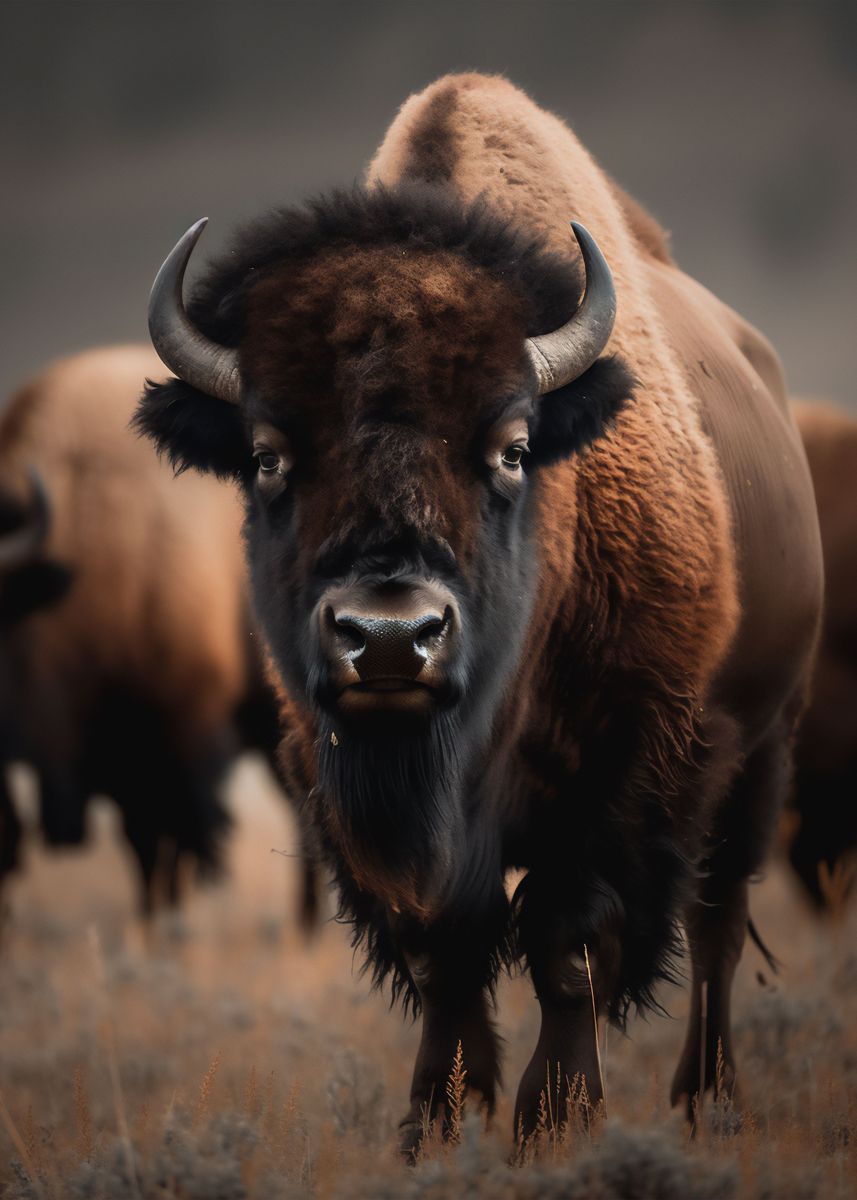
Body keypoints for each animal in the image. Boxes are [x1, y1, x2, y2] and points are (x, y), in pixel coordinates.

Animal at [136, 74, 823, 1146]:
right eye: (266, 455)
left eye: (510, 447)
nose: (388, 638)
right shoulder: (361, 798)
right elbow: (446, 951)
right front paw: (437, 1118)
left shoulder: (618, 769)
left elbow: (566, 941)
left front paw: (551, 1119)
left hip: (759, 742)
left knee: (713, 920)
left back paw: (705, 1099)